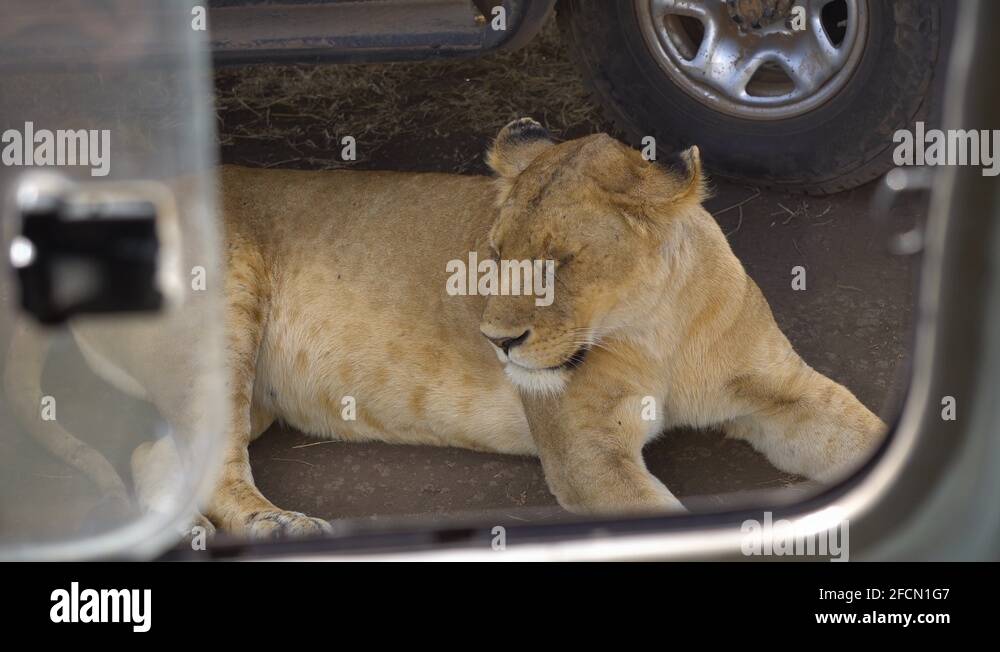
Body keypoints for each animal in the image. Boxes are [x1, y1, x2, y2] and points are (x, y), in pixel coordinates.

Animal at [7, 118, 886, 538]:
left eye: (558, 263)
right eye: (494, 254)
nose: (499, 344)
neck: (652, 326)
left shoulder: (784, 392)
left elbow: (865, 434)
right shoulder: (586, 453)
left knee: (160, 457)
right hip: (225, 311)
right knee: (202, 463)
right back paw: (273, 523)